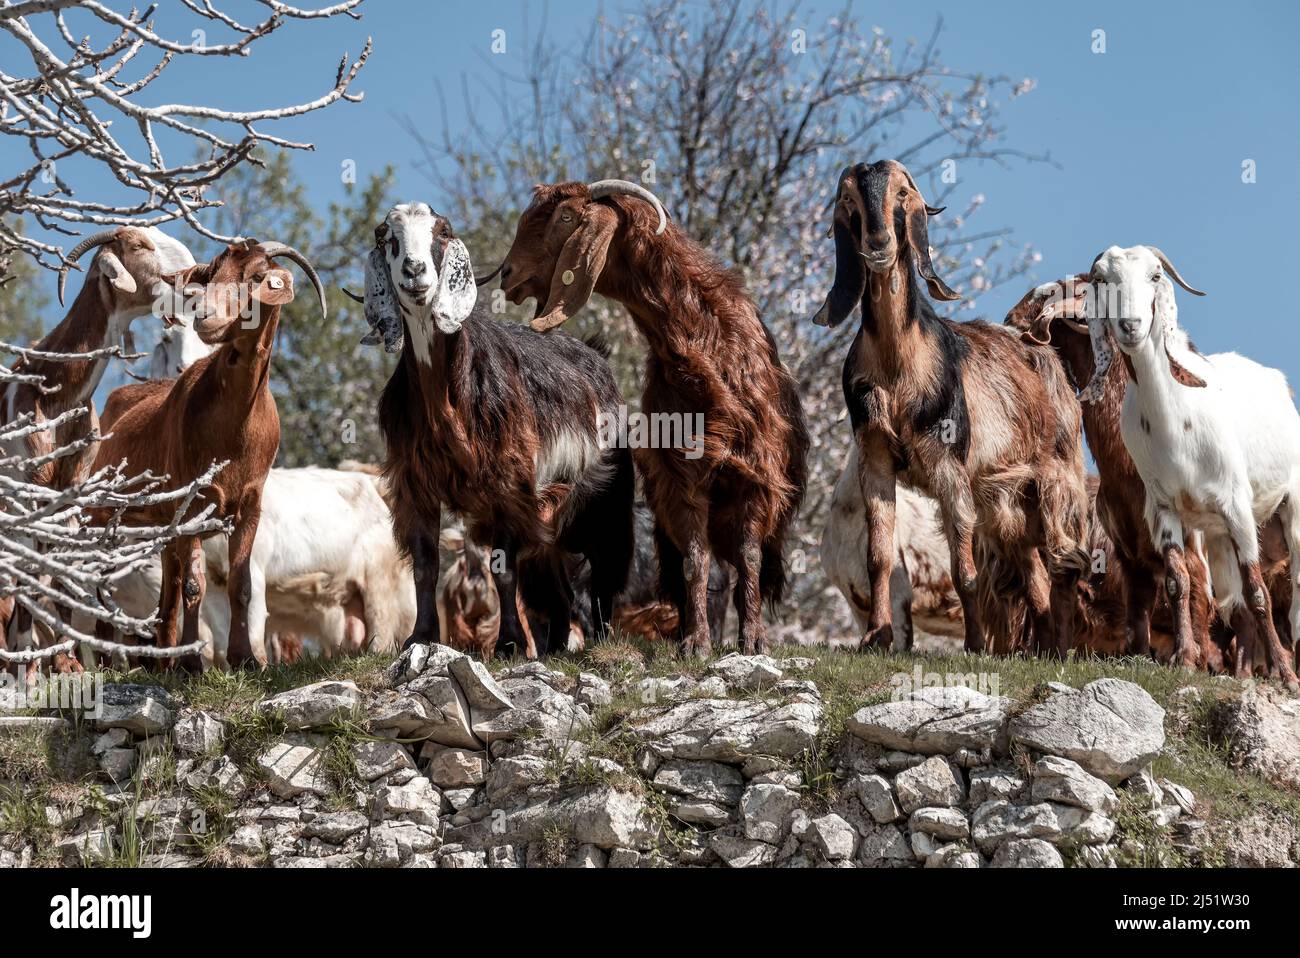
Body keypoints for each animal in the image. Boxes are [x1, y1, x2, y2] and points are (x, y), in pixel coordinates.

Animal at [91, 239, 325, 668]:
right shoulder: (193, 502)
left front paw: (243, 658)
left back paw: (162, 660)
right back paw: (107, 662)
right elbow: (195, 585)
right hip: (102, 517)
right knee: (102, 585)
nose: (206, 317)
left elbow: (240, 585)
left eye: (257, 277)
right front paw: (192, 665)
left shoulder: (249, 504)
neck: (233, 428)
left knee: (166, 590)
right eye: (212, 278)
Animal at [356, 202, 634, 657]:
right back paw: (556, 647)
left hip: (605, 499)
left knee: (603, 572)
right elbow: (426, 566)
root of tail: (598, 355)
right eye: (387, 238)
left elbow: (502, 569)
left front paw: (509, 642)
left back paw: (601, 640)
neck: (449, 393)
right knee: (554, 587)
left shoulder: (509, 484)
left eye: (442, 232)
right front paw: (421, 636)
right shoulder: (416, 483)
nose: (414, 271)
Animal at [499, 180, 809, 657]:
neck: (709, 344)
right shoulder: (679, 475)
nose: (507, 274)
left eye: (566, 218)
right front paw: (695, 643)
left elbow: (749, 557)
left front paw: (754, 640)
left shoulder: (756, 474)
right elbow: (694, 560)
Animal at [1004, 275, 1219, 668]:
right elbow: (1137, 612)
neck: (1126, 470)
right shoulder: (1128, 550)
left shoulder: (1183, 542)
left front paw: (1185, 657)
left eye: (1053, 290)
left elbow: (1183, 584)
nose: (1010, 319)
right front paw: (1142, 657)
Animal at [1081, 245, 1300, 686]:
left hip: (1291, 509)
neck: (1174, 420)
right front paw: (1183, 657)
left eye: (1154, 276)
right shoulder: (1163, 508)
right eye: (1103, 279)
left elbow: (1259, 592)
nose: (1130, 325)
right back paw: (1242, 673)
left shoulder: (1238, 507)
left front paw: (1286, 674)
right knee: (1234, 605)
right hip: (1216, 535)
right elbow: (1178, 583)